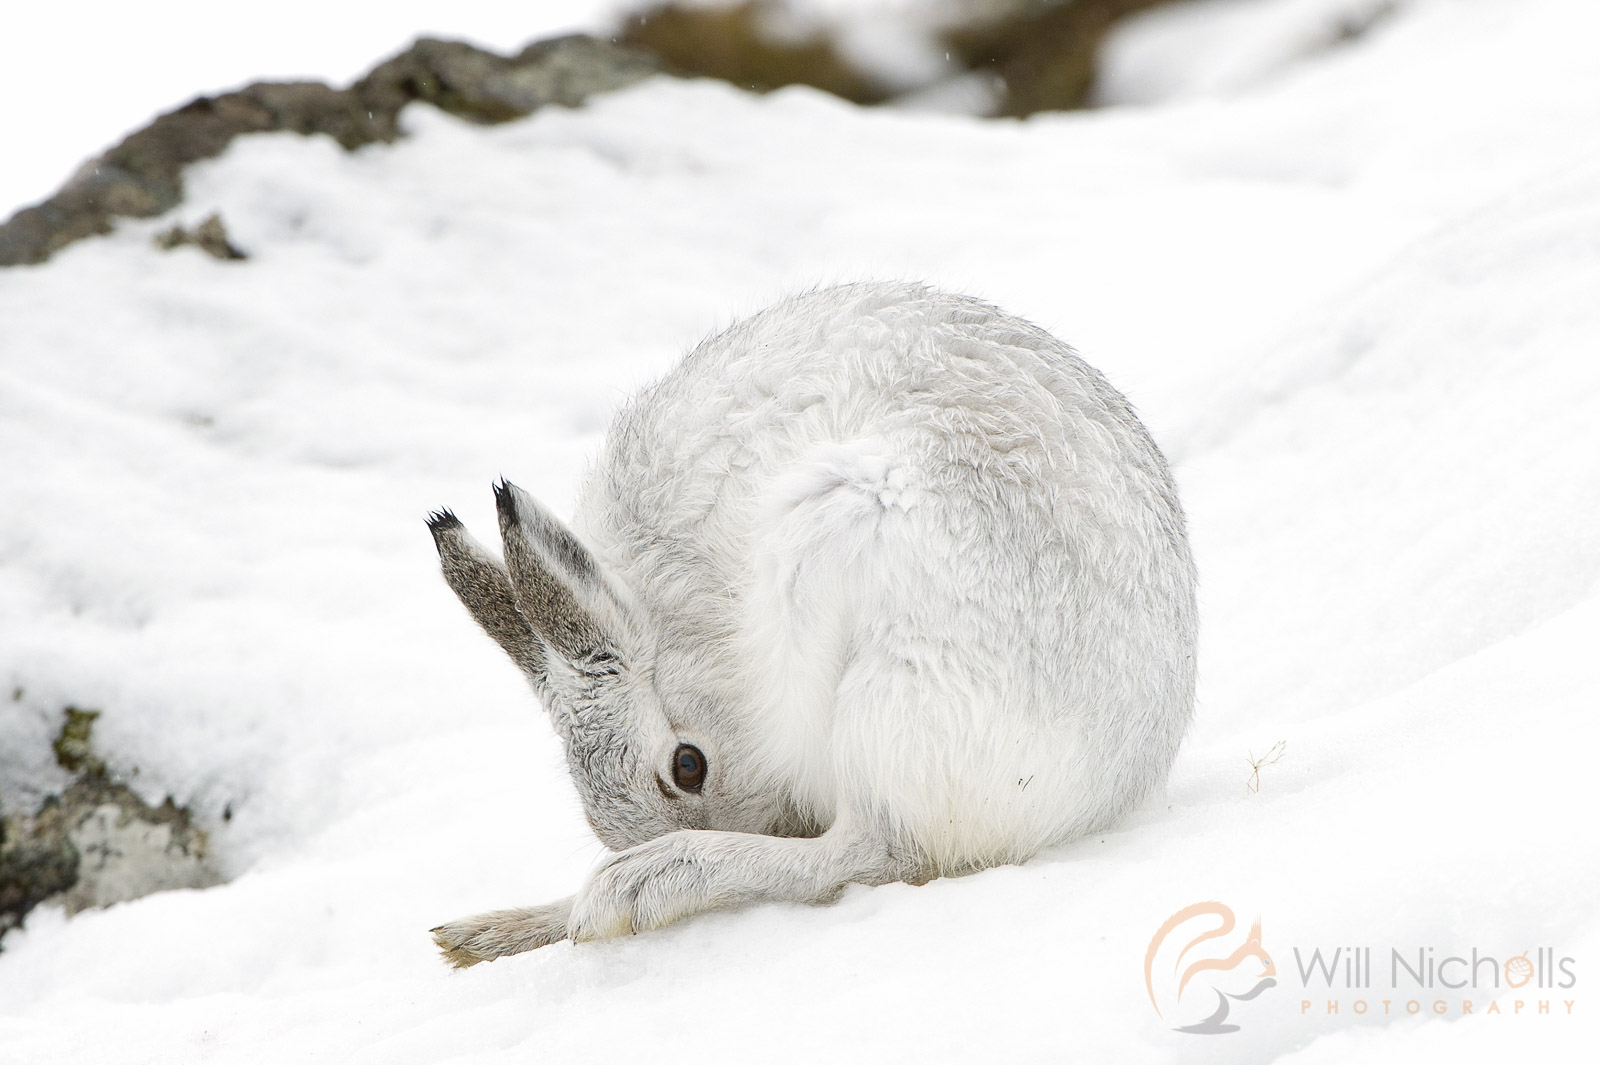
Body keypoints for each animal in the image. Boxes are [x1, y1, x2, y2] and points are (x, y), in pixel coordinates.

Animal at [426, 281, 1196, 967]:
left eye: (688, 765)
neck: (678, 610)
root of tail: (1111, 782)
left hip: (861, 610)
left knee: (875, 851)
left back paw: (642, 886)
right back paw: (492, 931)